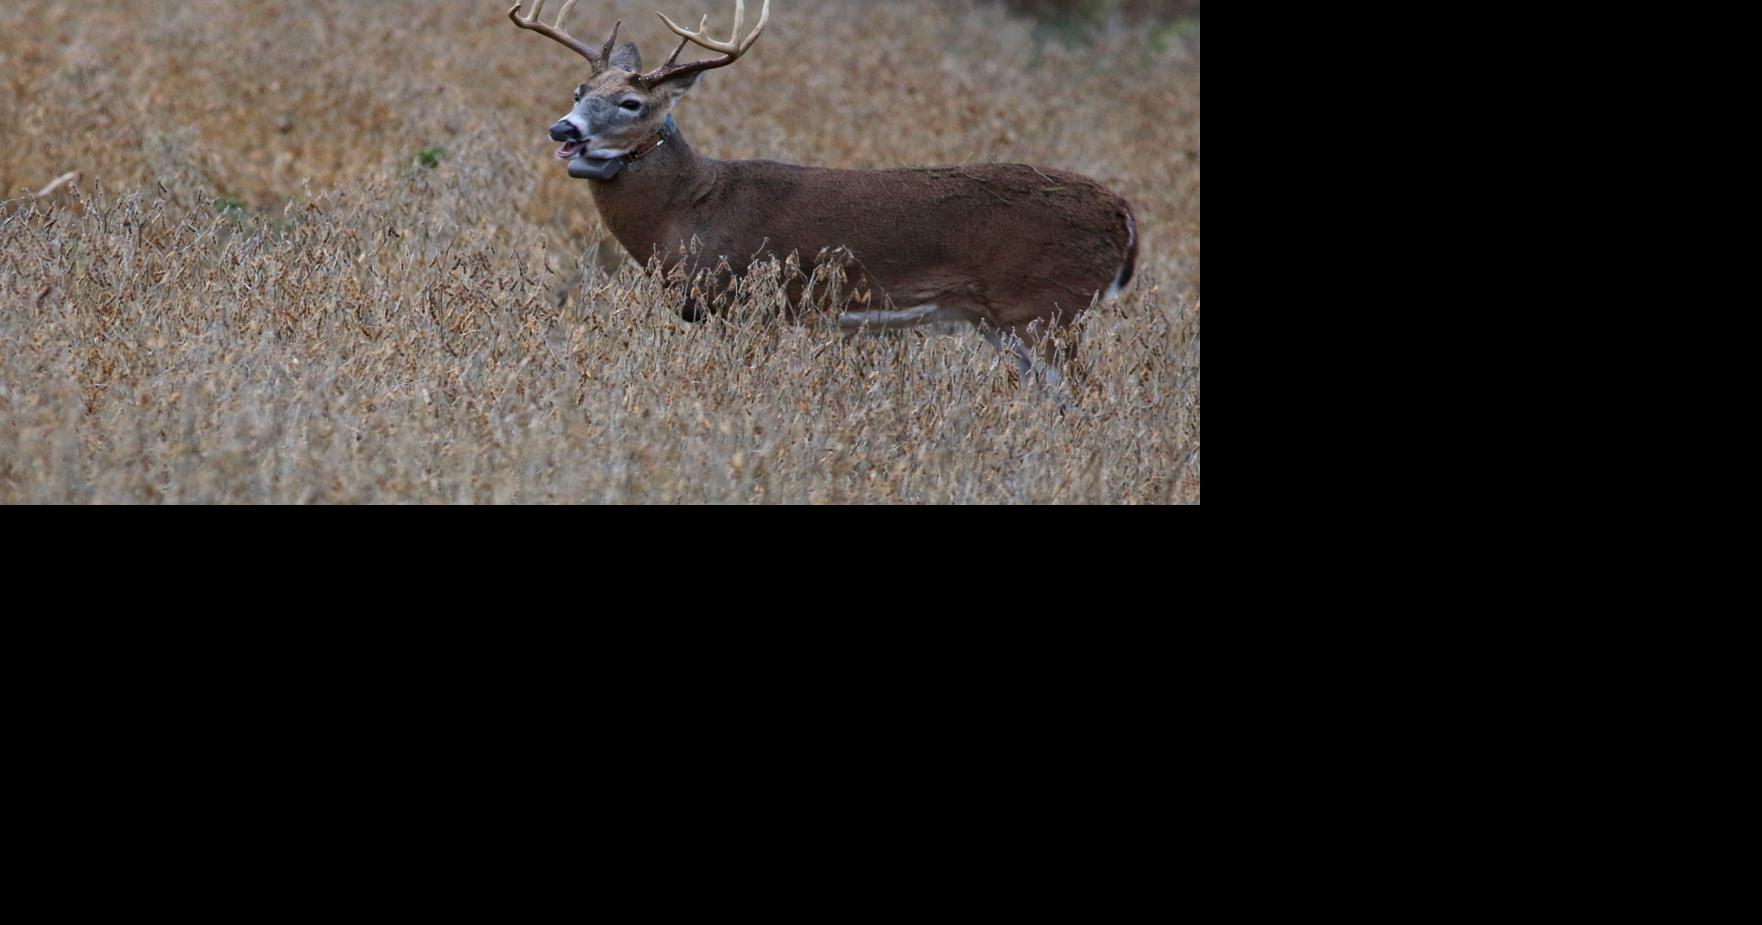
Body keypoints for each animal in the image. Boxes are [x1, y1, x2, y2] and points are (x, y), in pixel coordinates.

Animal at [508, 0, 1138, 382]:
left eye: (631, 103)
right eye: (578, 90)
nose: (564, 129)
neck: (690, 207)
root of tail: (1124, 214)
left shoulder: (748, 300)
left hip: (1049, 305)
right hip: (1004, 322)